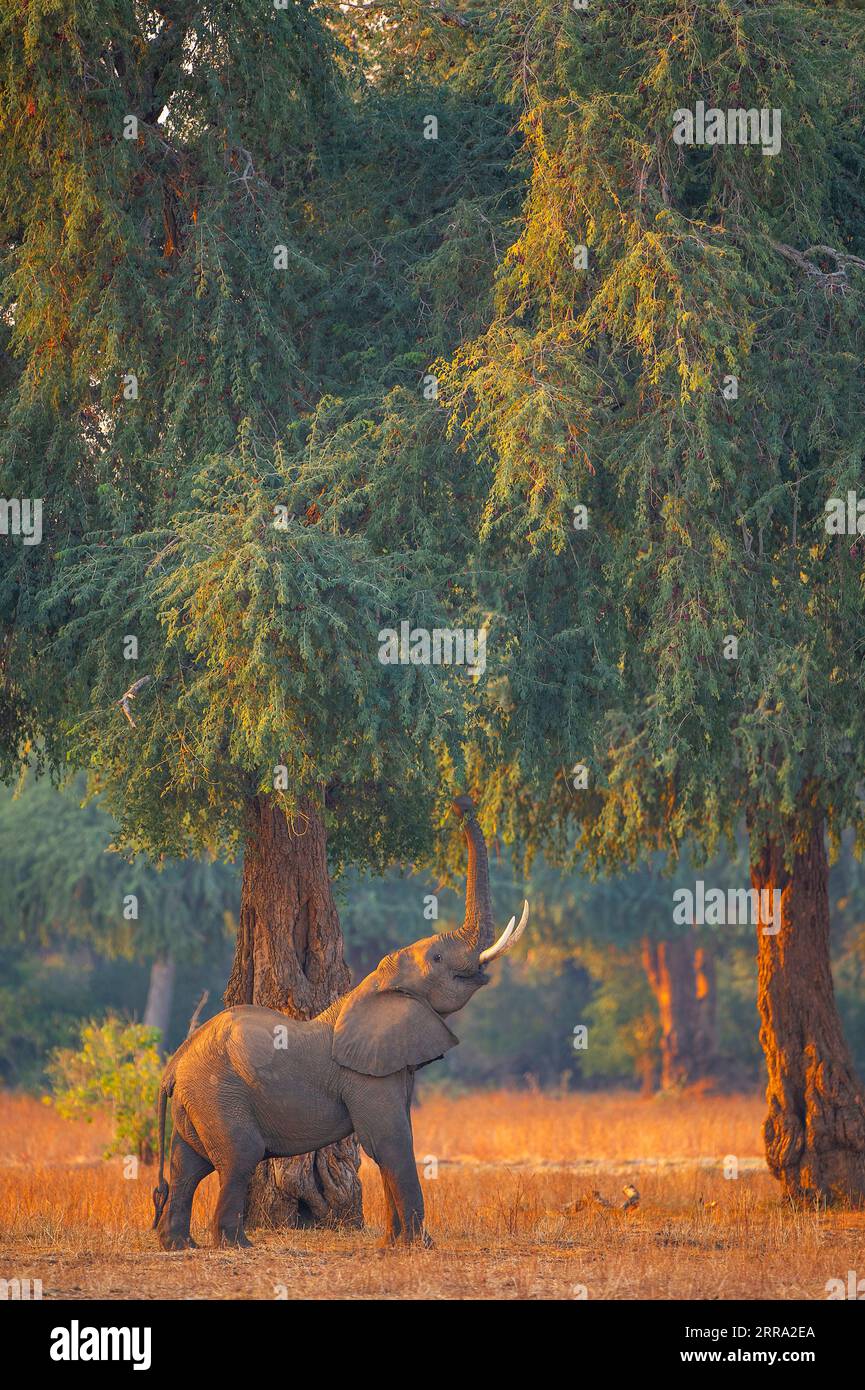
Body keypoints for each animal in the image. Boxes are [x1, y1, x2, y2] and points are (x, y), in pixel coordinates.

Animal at [152, 794, 528, 1250]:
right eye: (437, 959)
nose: (460, 803)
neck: (375, 985)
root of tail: (173, 1065)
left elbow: (393, 1137)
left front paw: (391, 1245)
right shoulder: (366, 1076)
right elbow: (389, 1142)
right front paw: (418, 1246)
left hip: (197, 1099)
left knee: (186, 1165)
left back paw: (179, 1245)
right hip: (218, 1093)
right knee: (238, 1156)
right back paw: (236, 1245)